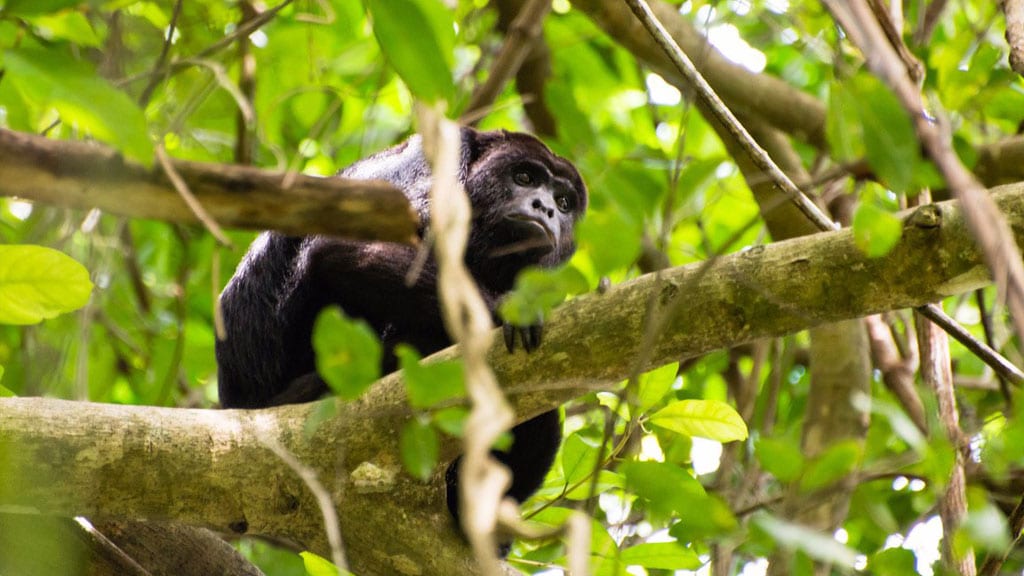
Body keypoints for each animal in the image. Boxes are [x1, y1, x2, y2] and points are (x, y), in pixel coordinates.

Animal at [215, 126, 587, 525]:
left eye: (564, 202)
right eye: (525, 178)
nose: (546, 208)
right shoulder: (435, 158)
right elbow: (342, 246)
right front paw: (510, 313)